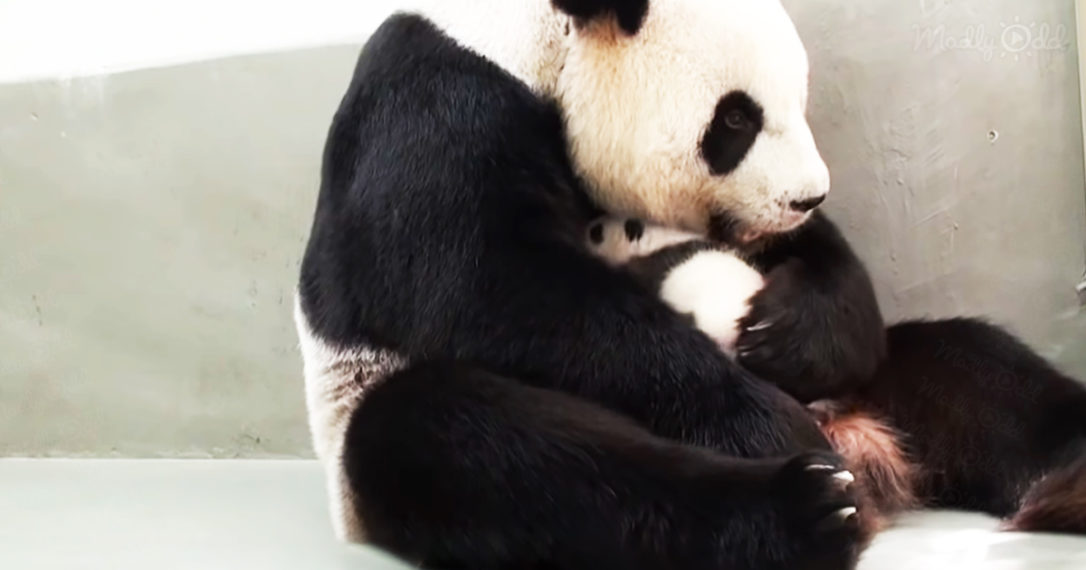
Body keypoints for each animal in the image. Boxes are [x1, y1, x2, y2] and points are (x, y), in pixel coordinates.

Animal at [295, 0, 883, 568]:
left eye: (799, 101)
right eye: (737, 118)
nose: (807, 197)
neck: (532, 43)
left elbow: (813, 256)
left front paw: (790, 337)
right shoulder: (437, 105)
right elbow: (470, 282)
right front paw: (771, 422)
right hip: (366, 406)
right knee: (488, 449)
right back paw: (808, 508)